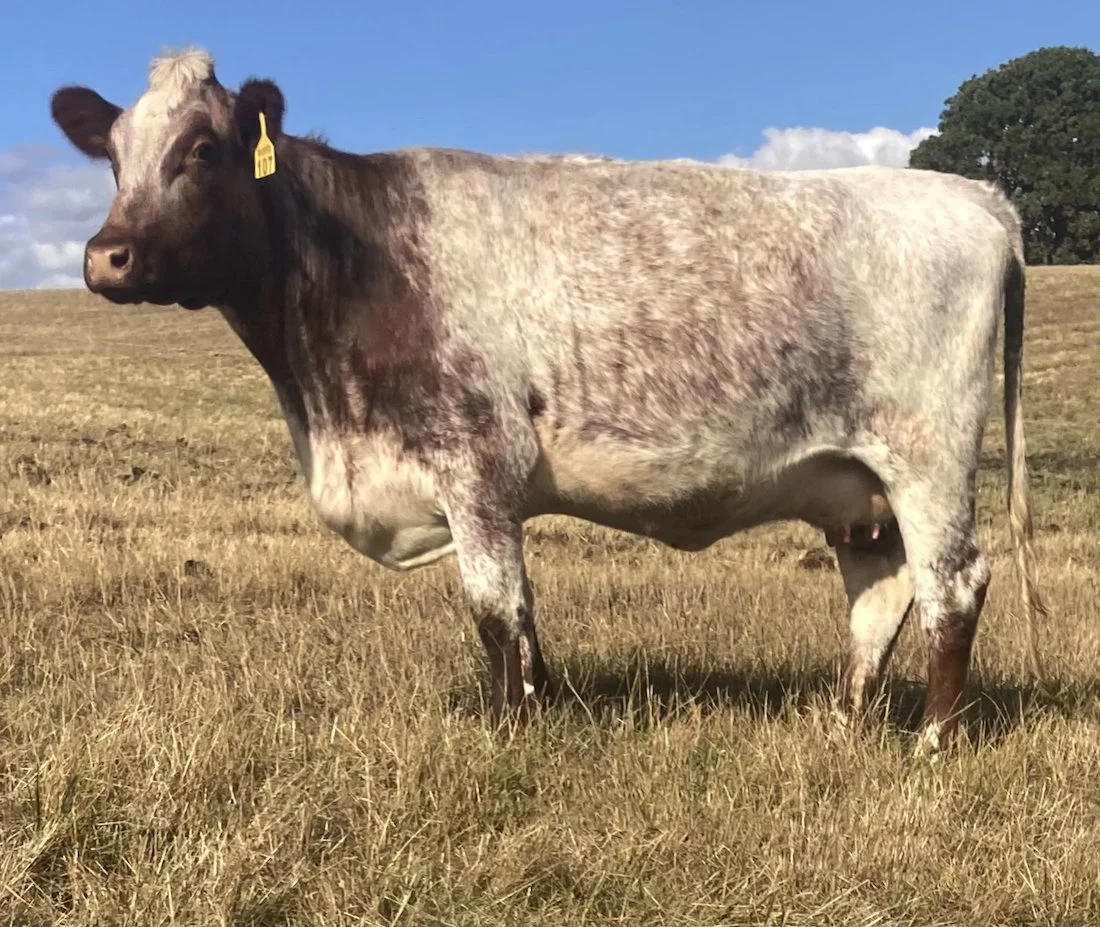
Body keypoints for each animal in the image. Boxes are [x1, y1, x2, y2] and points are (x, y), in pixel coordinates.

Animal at [49, 48, 1043, 755]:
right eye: (112, 155)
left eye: (203, 148)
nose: (107, 256)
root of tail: (974, 194)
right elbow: (511, 620)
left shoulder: (476, 464)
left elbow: (498, 611)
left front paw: (512, 734)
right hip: (857, 484)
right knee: (881, 592)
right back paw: (843, 726)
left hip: (928, 456)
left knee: (953, 584)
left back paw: (930, 742)